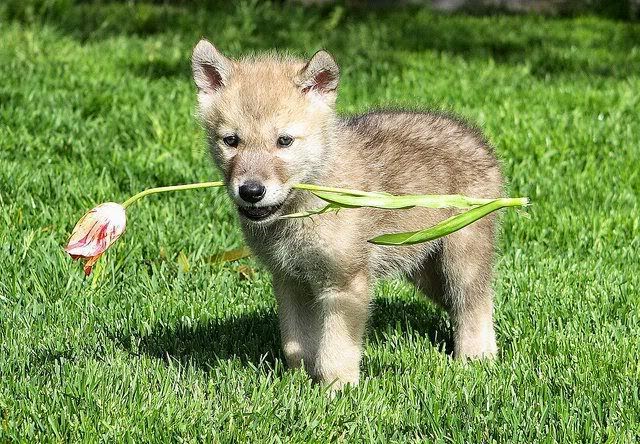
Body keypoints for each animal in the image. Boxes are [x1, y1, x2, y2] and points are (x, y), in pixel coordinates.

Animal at [191, 39, 503, 390]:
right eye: (231, 141)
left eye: (284, 141)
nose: (251, 191)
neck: (303, 207)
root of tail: (478, 138)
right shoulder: (290, 280)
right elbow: (296, 345)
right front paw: (298, 384)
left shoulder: (344, 284)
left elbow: (335, 350)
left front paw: (337, 390)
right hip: (423, 267)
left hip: (460, 259)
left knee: (474, 303)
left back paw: (475, 358)